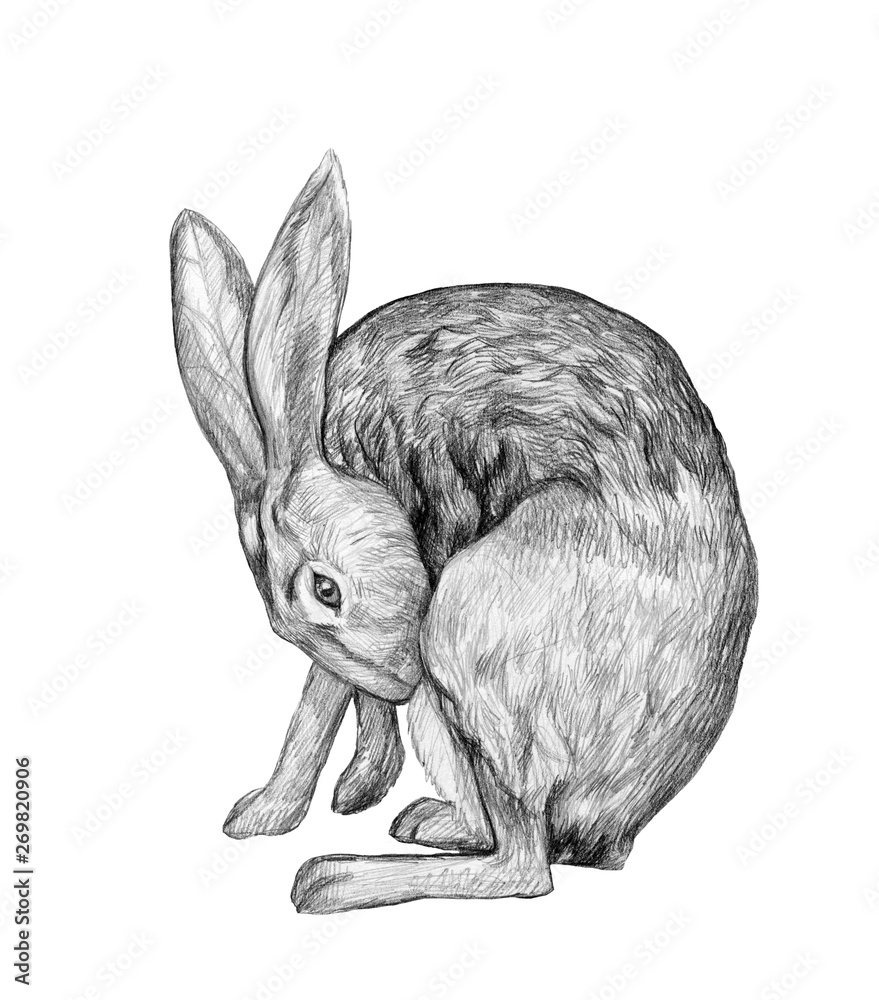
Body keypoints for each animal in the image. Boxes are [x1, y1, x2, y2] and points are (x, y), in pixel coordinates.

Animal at [170, 150, 758, 913]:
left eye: (327, 591)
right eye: (280, 622)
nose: (399, 681)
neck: (332, 452)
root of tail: (614, 828)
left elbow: (319, 701)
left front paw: (278, 813)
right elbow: (328, 695)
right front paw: (296, 803)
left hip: (465, 635)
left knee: (524, 866)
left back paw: (333, 879)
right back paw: (425, 820)